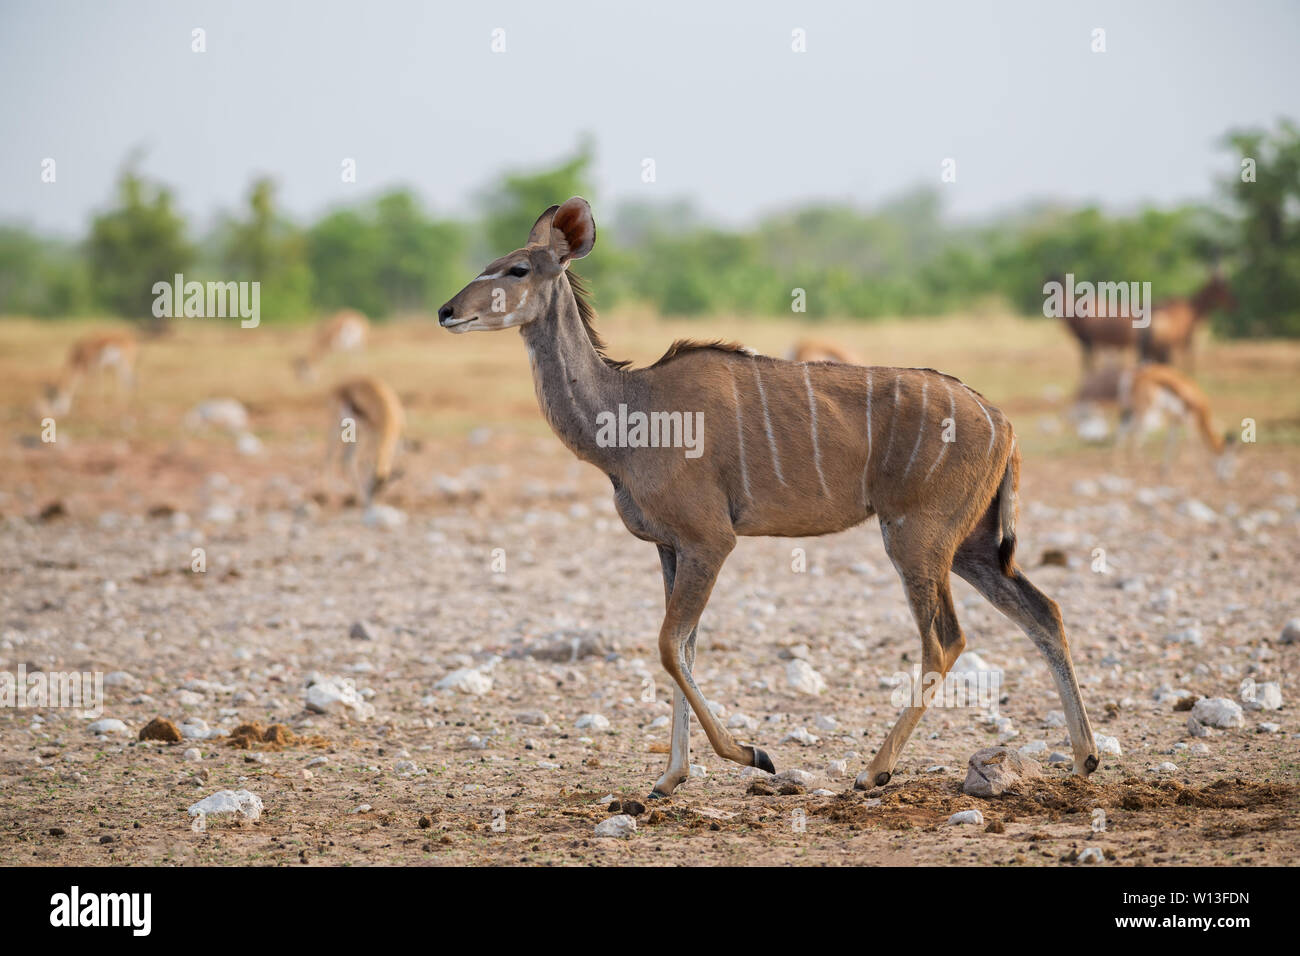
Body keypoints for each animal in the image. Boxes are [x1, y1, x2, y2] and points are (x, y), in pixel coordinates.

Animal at [326, 376, 405, 505]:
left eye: (382, 490)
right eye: (372, 485)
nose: (372, 501)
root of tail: (338, 387)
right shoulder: (370, 434)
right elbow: (366, 463)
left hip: (354, 434)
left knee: (344, 458)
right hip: (339, 429)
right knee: (330, 457)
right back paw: (330, 497)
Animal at [437, 198, 1098, 797]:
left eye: (518, 268)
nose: (446, 310)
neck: (630, 414)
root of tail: (1004, 423)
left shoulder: (710, 540)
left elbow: (670, 646)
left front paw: (754, 756)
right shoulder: (671, 547)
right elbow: (685, 648)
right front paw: (668, 779)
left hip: (916, 537)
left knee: (946, 639)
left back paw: (873, 772)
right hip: (969, 546)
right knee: (1043, 611)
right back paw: (1085, 758)